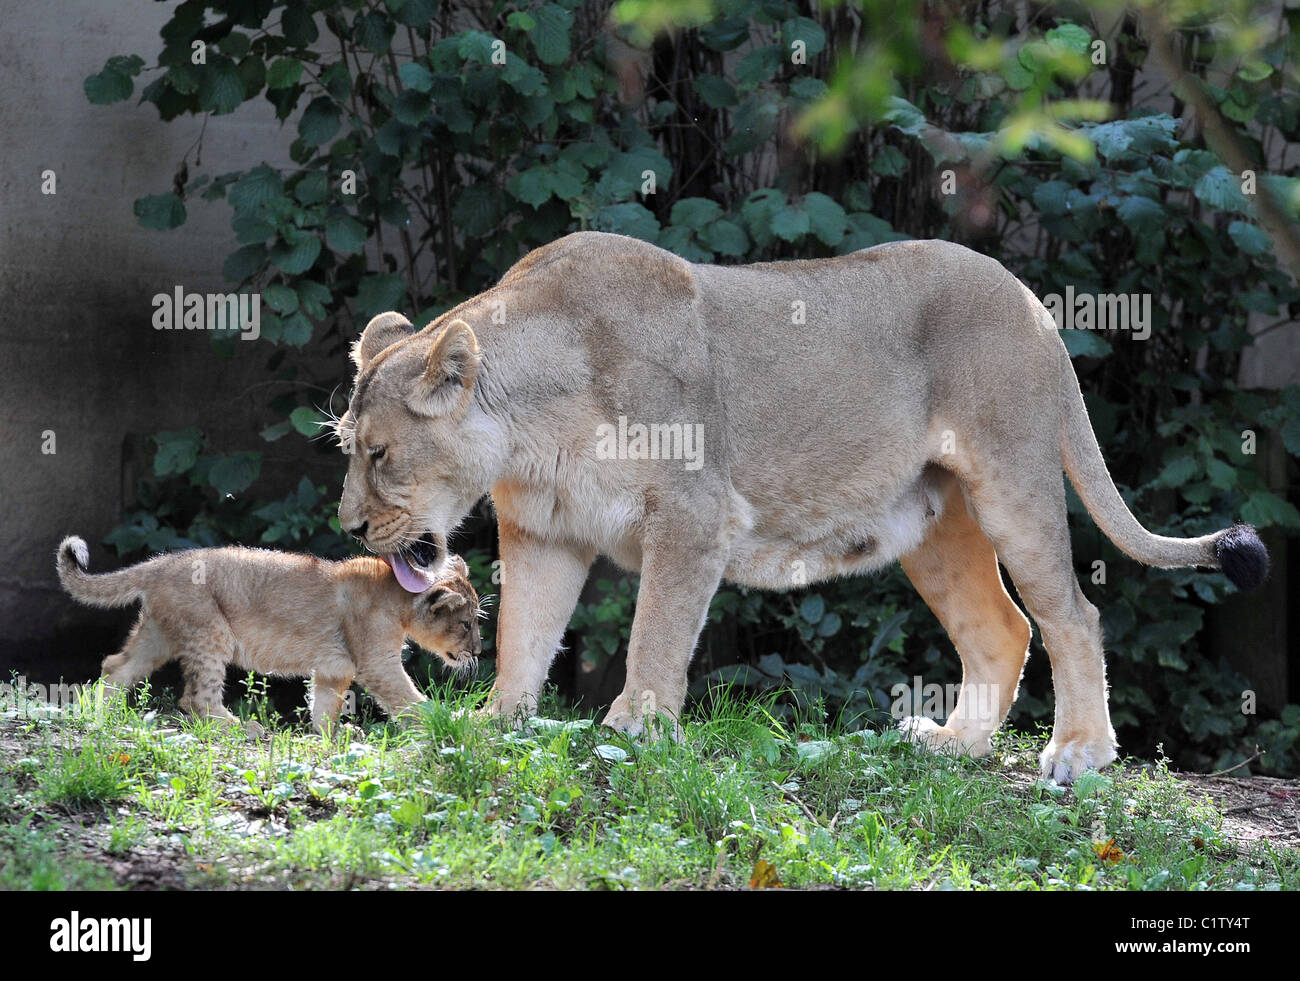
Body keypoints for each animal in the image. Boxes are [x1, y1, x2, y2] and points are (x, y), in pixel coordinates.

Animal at [57, 536, 481, 735]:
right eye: (467, 623)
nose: (478, 650)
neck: (400, 597)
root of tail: (162, 562)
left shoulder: (335, 669)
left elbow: (324, 706)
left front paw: (332, 737)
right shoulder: (377, 664)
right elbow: (410, 700)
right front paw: (450, 721)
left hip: (159, 634)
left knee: (115, 665)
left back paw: (103, 715)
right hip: (211, 632)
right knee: (194, 698)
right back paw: (245, 728)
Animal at [334, 231, 1267, 783]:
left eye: (378, 454)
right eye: (347, 445)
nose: (351, 528)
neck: (529, 423)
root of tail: (1034, 303)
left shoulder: (693, 513)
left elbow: (655, 632)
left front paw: (636, 725)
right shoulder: (544, 529)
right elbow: (525, 636)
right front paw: (497, 723)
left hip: (1013, 483)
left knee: (1074, 613)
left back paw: (1078, 753)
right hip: (934, 522)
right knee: (1003, 627)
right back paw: (955, 743)